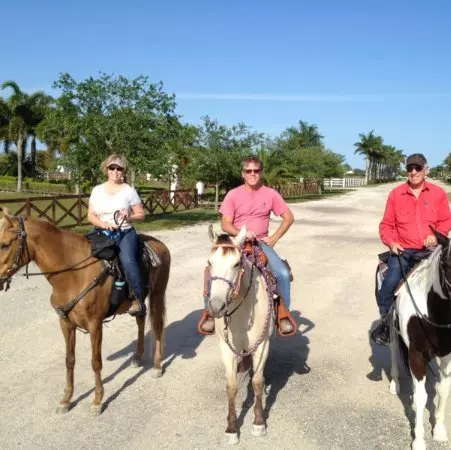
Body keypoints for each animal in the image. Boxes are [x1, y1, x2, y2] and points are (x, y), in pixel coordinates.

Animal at [0, 211, 170, 414]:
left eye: (5, 244)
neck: (73, 275)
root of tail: (160, 245)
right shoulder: (65, 323)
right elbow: (69, 360)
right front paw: (66, 399)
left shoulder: (95, 324)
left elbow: (95, 362)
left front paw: (97, 401)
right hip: (140, 300)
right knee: (141, 320)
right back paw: (137, 357)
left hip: (157, 294)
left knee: (157, 327)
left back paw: (157, 367)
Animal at [206, 227, 276, 444]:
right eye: (209, 263)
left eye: (236, 264)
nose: (216, 307)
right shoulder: (226, 347)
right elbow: (231, 386)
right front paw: (231, 429)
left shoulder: (262, 345)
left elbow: (258, 382)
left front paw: (259, 422)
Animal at [388, 232, 451, 450]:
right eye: (446, 264)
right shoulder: (416, 355)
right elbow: (421, 398)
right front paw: (419, 440)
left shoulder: (448, 355)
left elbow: (443, 389)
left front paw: (439, 431)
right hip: (393, 332)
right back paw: (394, 384)